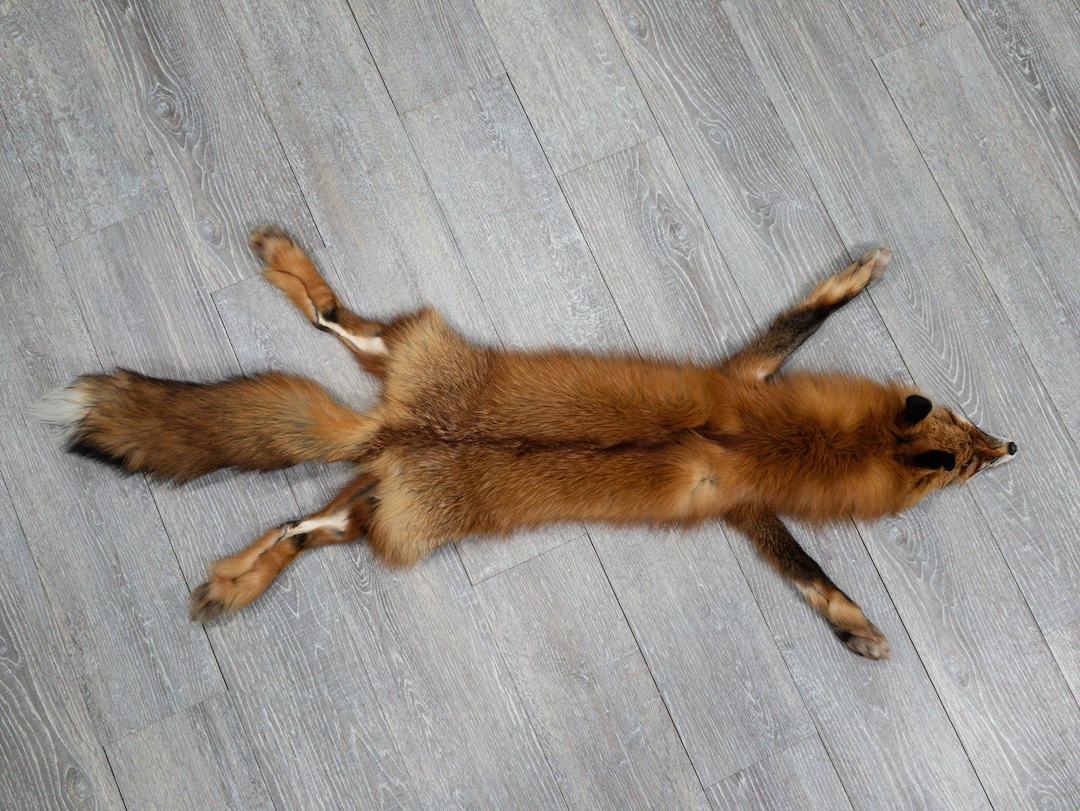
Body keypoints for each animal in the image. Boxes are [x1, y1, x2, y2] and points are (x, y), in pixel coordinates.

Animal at [32, 226, 1017, 659]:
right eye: (963, 456)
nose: (1012, 449)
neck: (789, 440)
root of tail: (390, 430)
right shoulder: (748, 479)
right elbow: (812, 572)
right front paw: (858, 628)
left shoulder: (748, 393)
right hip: (399, 491)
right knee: (311, 468)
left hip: (379, 481)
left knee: (306, 486)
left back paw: (235, 577)